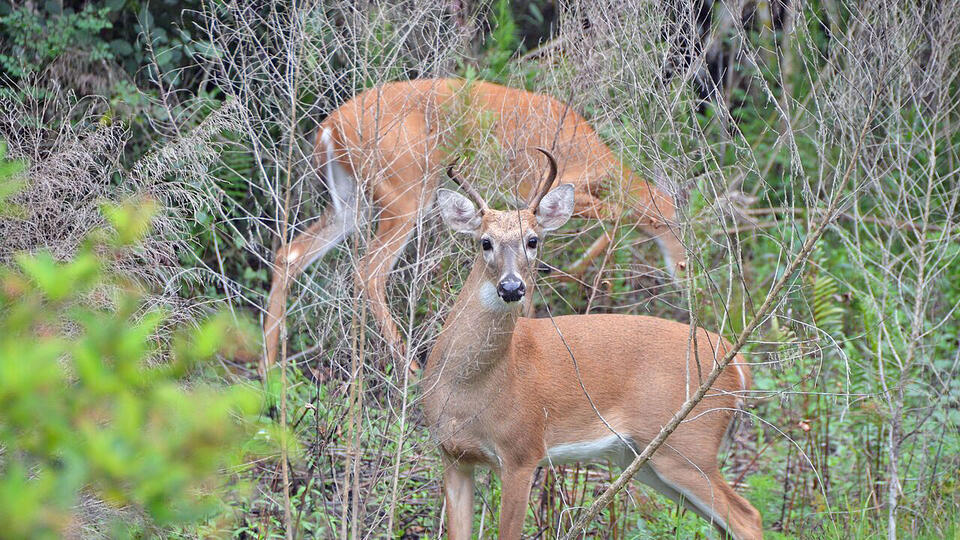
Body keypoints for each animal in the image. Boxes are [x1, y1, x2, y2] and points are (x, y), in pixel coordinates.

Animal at [263, 78, 687, 375]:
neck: (590, 155)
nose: (685, 269)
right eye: (674, 224)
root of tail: (329, 129)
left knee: (290, 254)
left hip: (351, 204)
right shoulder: (542, 188)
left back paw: (269, 369)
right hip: (405, 195)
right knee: (369, 271)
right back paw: (411, 368)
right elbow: (621, 212)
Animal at [423, 149, 763, 540]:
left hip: (689, 446)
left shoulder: (522, 451)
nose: (511, 287)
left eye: (533, 240)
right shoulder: (452, 457)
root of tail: (736, 363)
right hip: (644, 457)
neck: (470, 388)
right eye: (485, 241)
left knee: (748, 517)